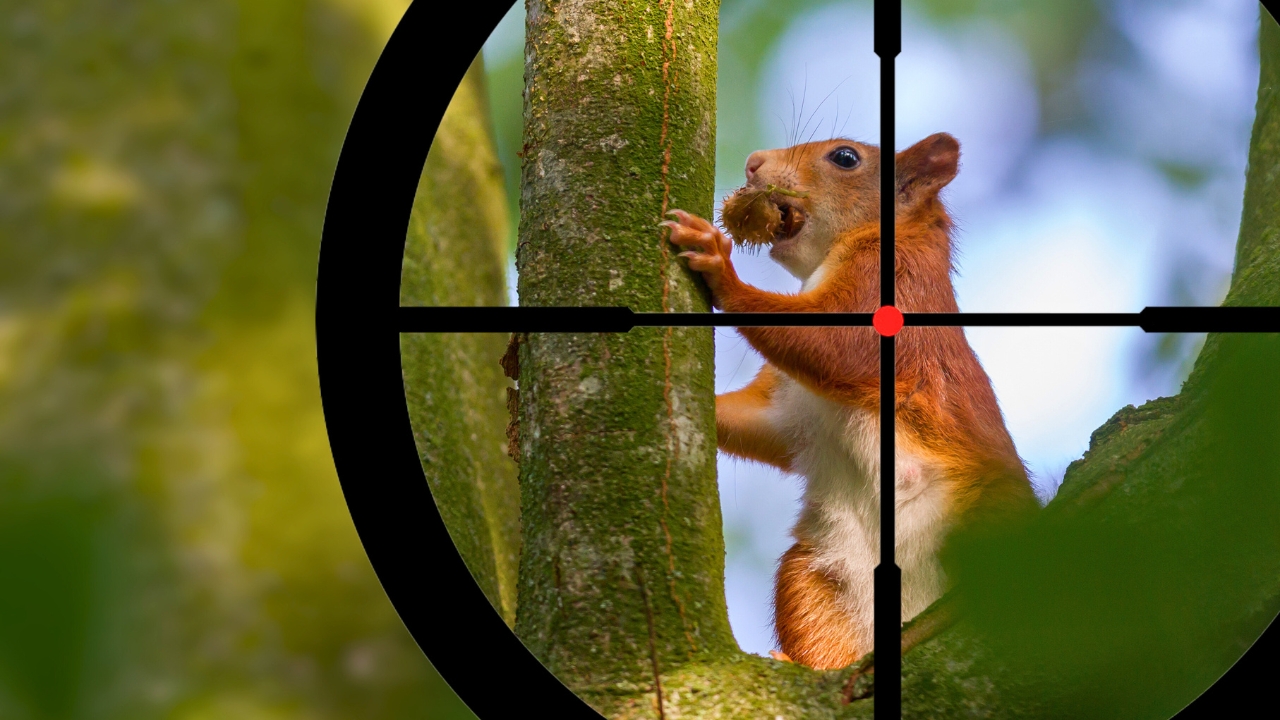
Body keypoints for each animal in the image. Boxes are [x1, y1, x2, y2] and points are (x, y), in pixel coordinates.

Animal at [661, 133, 1038, 671]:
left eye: (845, 158)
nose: (754, 164)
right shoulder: (787, 407)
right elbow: (762, 423)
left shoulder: (890, 286)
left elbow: (835, 347)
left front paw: (719, 265)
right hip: (814, 577)